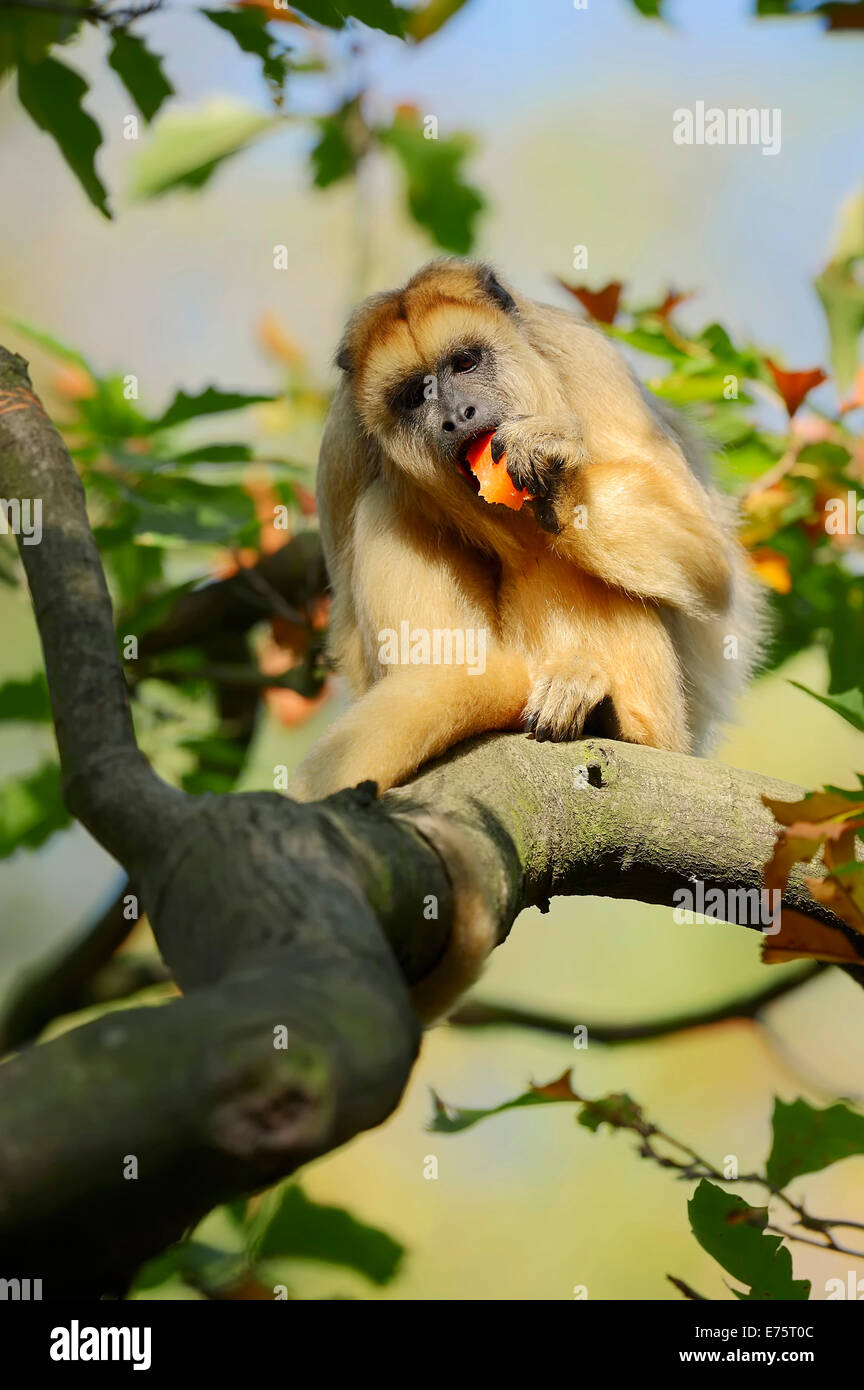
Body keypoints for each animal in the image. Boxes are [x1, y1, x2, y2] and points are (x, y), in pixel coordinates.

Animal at [289, 259, 764, 1017]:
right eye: (415, 394)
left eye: (465, 362)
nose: (457, 415)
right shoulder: (342, 447)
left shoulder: (587, 360)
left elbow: (707, 561)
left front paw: (554, 465)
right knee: (389, 502)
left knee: (548, 551)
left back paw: (612, 717)